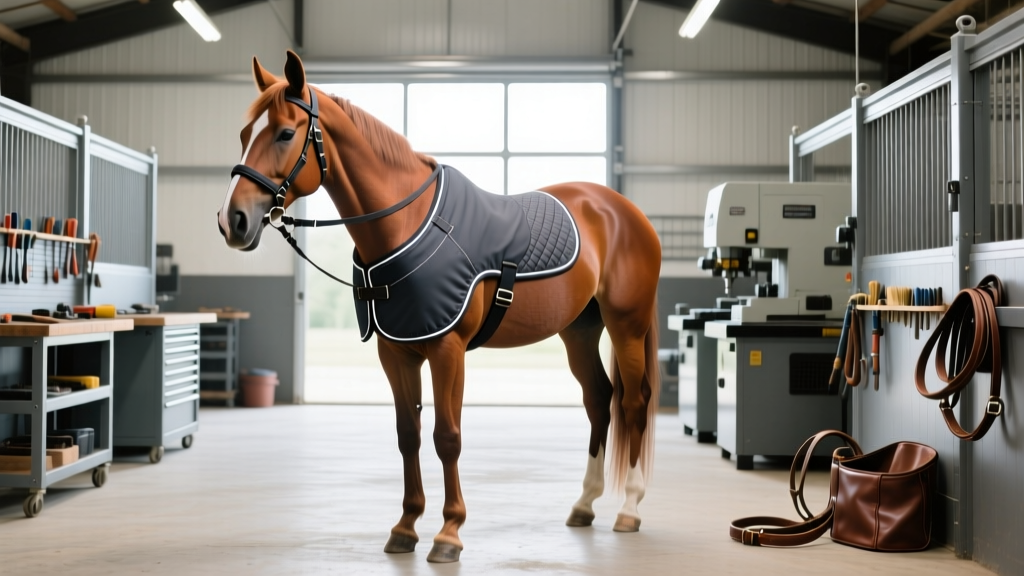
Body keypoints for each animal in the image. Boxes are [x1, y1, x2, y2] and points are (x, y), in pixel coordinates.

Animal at [217, 50, 662, 564]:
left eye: (286, 134)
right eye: (245, 134)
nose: (232, 221)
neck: (406, 225)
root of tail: (623, 210)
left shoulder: (447, 351)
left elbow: (446, 437)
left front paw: (449, 533)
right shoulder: (396, 352)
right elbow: (408, 434)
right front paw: (406, 527)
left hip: (625, 325)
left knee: (633, 402)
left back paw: (629, 508)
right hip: (579, 330)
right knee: (598, 400)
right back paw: (585, 504)